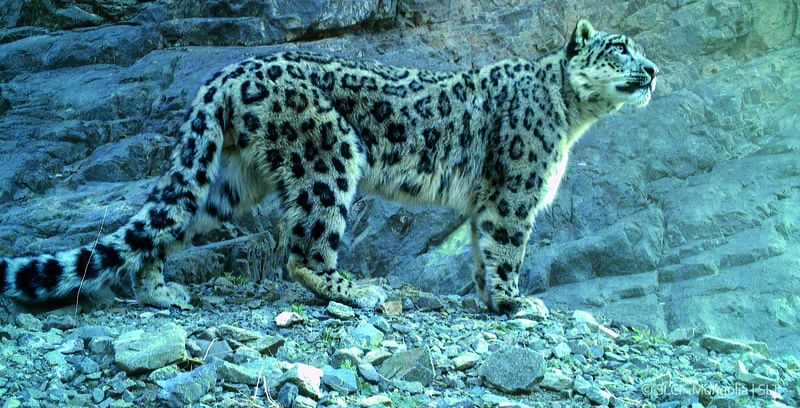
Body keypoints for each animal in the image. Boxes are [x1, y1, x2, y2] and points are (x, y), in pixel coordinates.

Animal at [1, 20, 657, 314]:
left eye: (641, 50)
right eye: (621, 48)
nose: (653, 70)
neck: (574, 118)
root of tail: (226, 74)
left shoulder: (489, 202)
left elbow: (478, 252)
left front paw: (489, 300)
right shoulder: (513, 193)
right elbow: (504, 251)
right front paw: (513, 303)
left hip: (226, 181)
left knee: (169, 224)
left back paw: (162, 292)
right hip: (331, 155)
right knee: (303, 251)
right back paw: (356, 289)